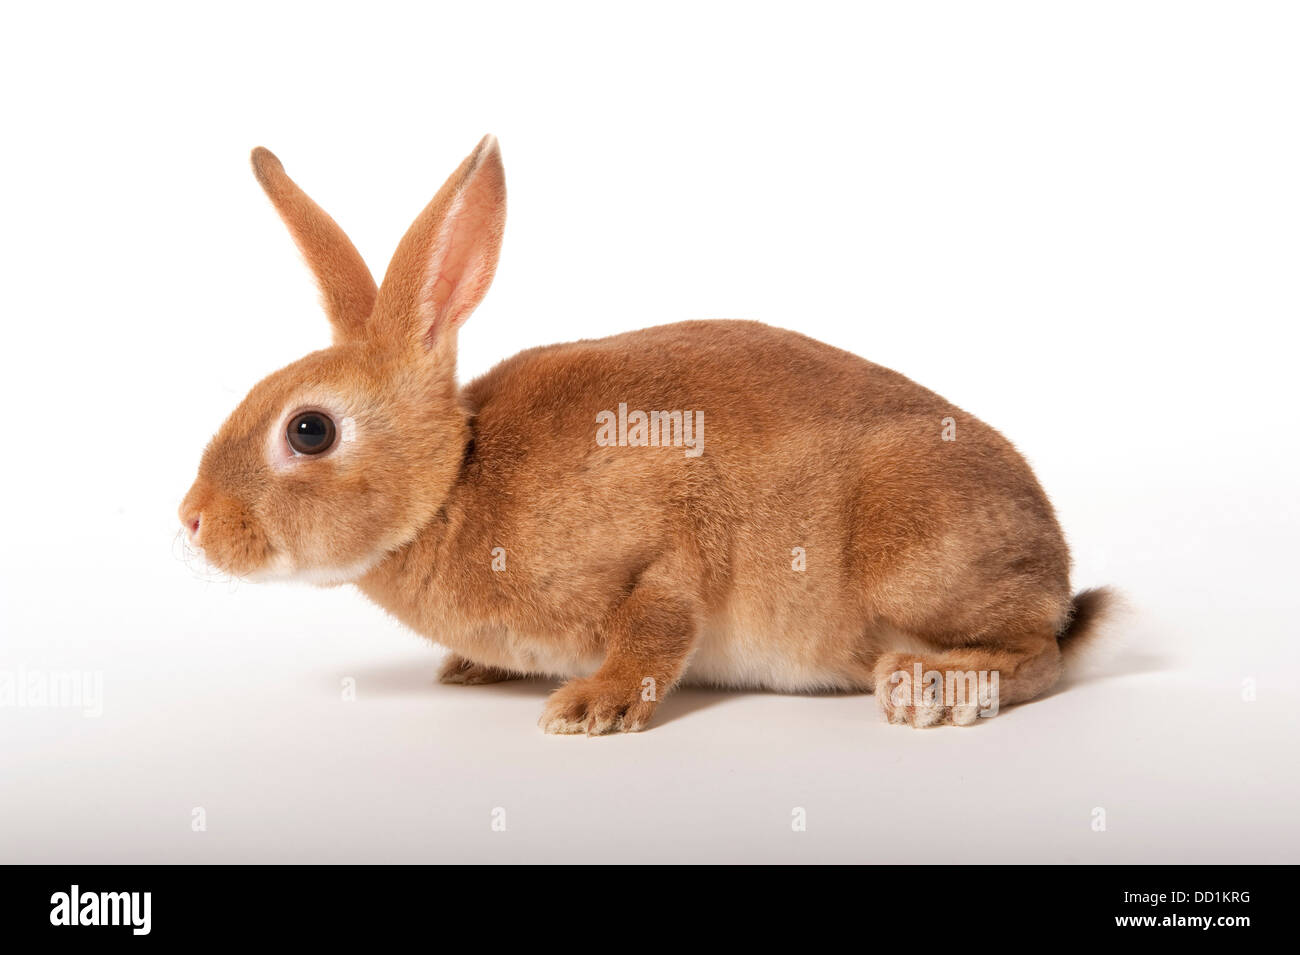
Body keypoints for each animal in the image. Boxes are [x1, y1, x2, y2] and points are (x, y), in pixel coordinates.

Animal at [180, 135, 1112, 733]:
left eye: (308, 430)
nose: (191, 519)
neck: (451, 484)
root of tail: (1053, 566)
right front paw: (480, 669)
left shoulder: (661, 536)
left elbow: (656, 623)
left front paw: (592, 706)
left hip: (914, 557)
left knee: (1040, 653)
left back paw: (934, 688)